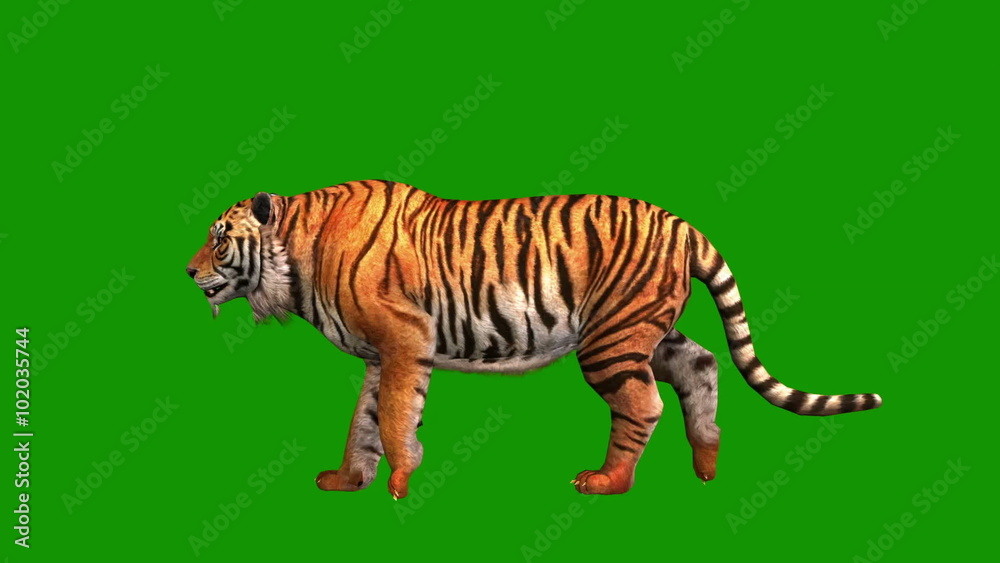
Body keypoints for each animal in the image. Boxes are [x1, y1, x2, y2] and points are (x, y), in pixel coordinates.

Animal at [185, 180, 881, 499]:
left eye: (220, 239)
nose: (187, 272)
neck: (295, 255)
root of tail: (681, 224)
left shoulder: (404, 340)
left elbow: (394, 419)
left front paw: (400, 484)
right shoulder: (380, 355)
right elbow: (364, 418)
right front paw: (347, 480)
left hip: (610, 338)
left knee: (643, 403)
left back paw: (606, 481)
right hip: (644, 330)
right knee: (703, 365)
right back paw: (706, 465)